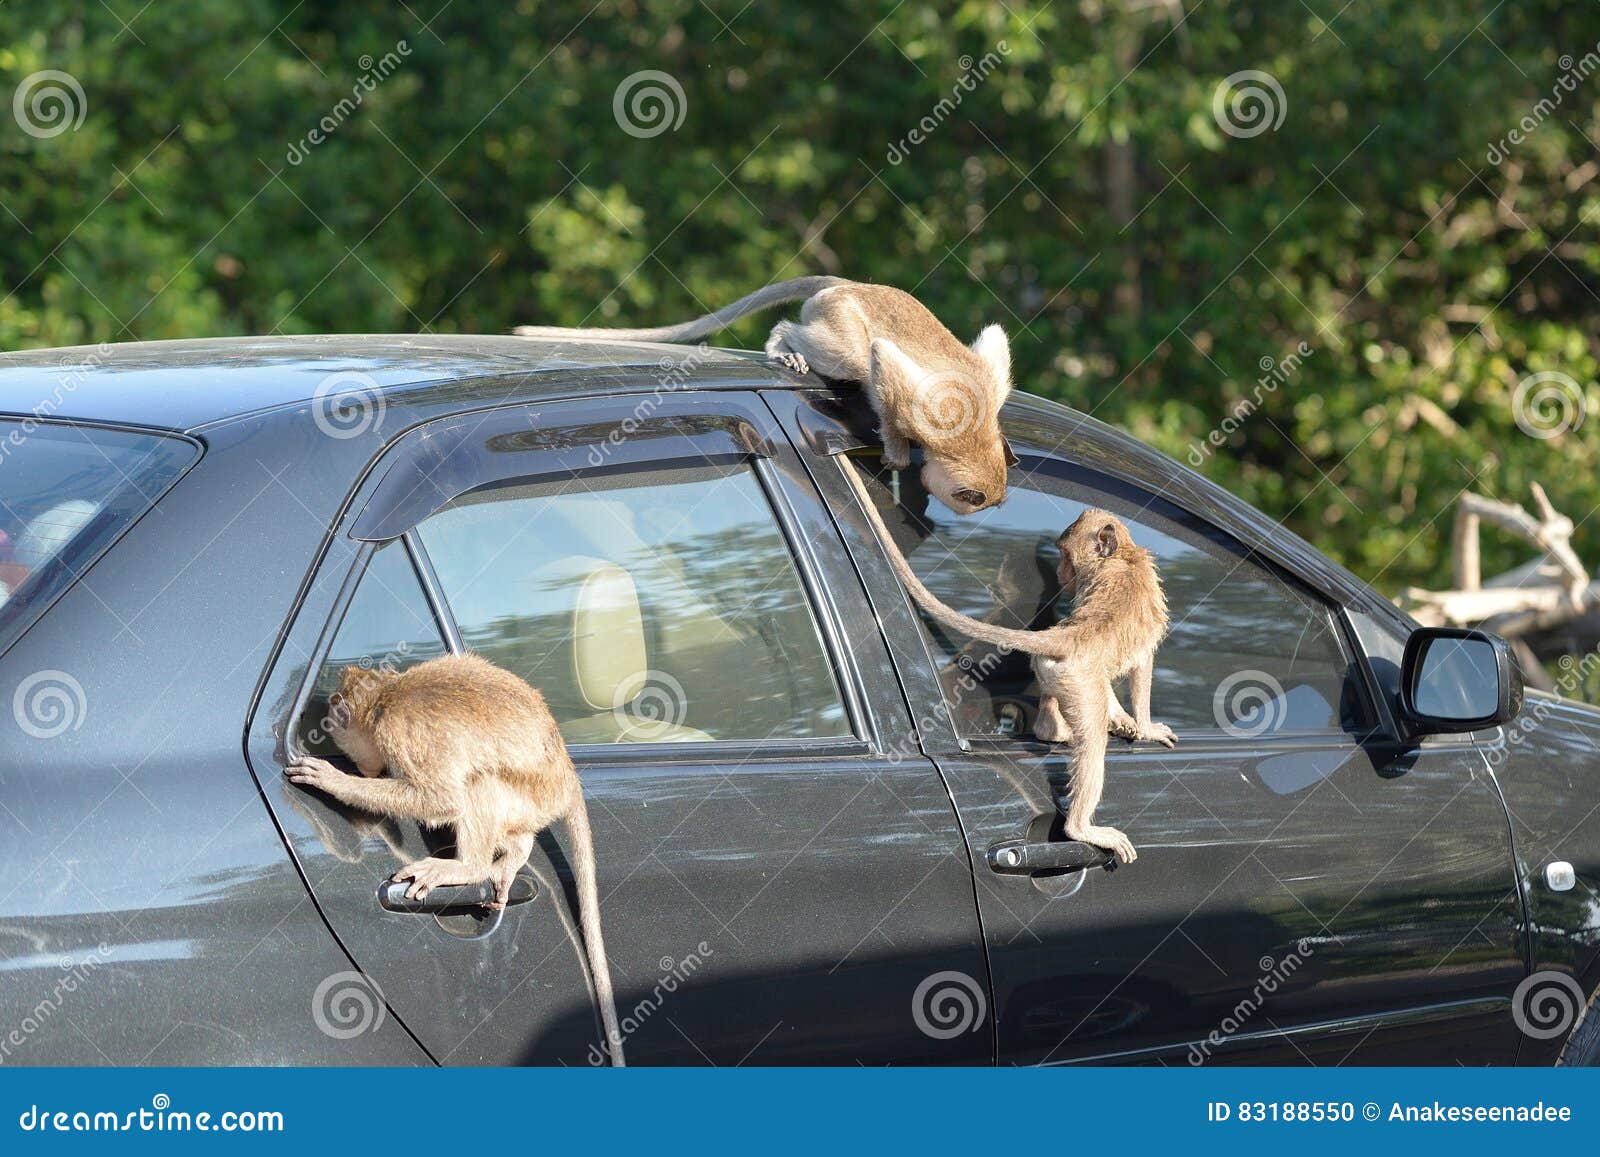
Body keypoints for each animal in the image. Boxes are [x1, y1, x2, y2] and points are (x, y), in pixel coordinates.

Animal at [283, 653, 626, 1065]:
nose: (364, 768)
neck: (386, 697)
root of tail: (566, 773)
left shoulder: (400, 734)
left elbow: (441, 800)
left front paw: (336, 782)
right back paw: (517, 850)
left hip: (532, 793)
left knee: (477, 781)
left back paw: (469, 867)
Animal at [514, 276, 1018, 515]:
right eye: (969, 501)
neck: (972, 442)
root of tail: (849, 285)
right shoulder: (925, 414)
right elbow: (880, 362)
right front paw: (896, 449)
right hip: (837, 314)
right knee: (852, 356)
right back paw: (783, 341)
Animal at [842, 459, 1175, 863]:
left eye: (1065, 556)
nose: (1062, 574)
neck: (1122, 556)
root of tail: (1072, 636)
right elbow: (1142, 665)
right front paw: (1143, 726)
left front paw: (1124, 720)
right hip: (1078, 678)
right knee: (1092, 737)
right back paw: (1081, 827)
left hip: (1054, 670)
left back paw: (1051, 731)